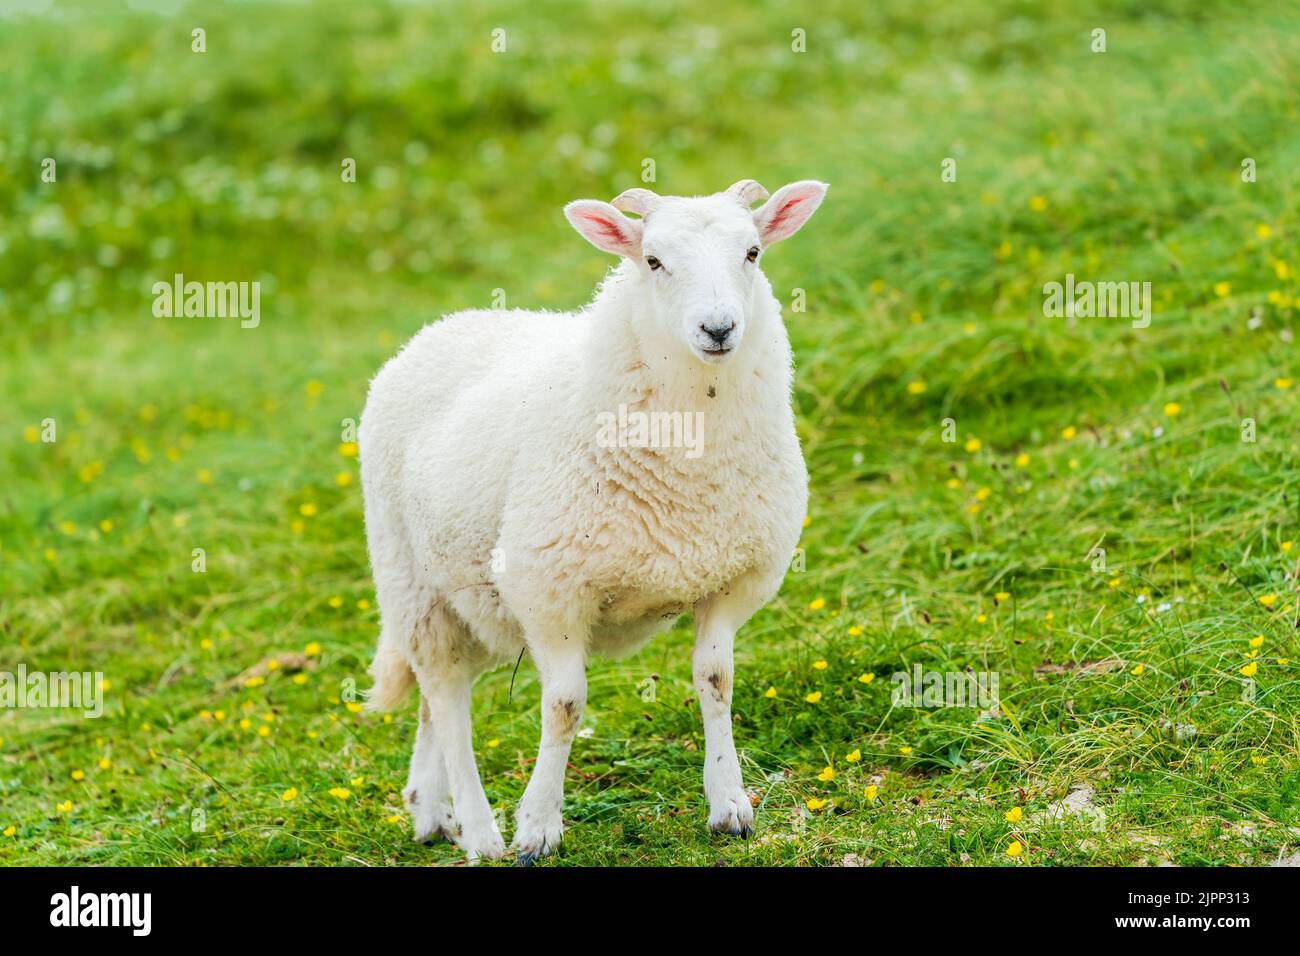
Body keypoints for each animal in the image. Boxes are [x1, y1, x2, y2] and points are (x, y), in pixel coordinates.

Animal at [361, 178, 828, 862]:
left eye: (753, 252)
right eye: (653, 261)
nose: (719, 329)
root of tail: (442, 327)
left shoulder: (731, 580)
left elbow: (716, 680)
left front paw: (730, 806)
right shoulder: (550, 589)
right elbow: (563, 705)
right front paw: (537, 827)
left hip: (469, 598)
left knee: (433, 699)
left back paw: (430, 812)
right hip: (411, 578)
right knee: (447, 698)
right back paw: (480, 832)